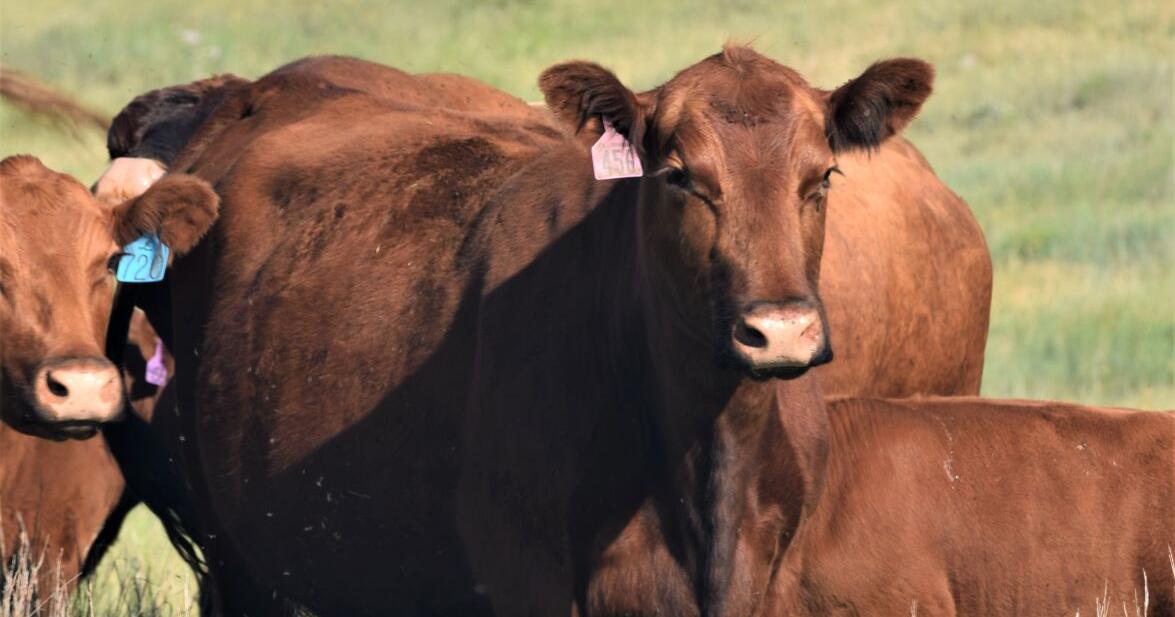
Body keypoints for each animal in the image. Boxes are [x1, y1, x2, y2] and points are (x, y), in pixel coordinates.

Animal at [90, 45, 934, 615]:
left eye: (822, 175)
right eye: (678, 176)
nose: (780, 330)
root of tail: (249, 93)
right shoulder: (523, 570)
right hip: (233, 554)